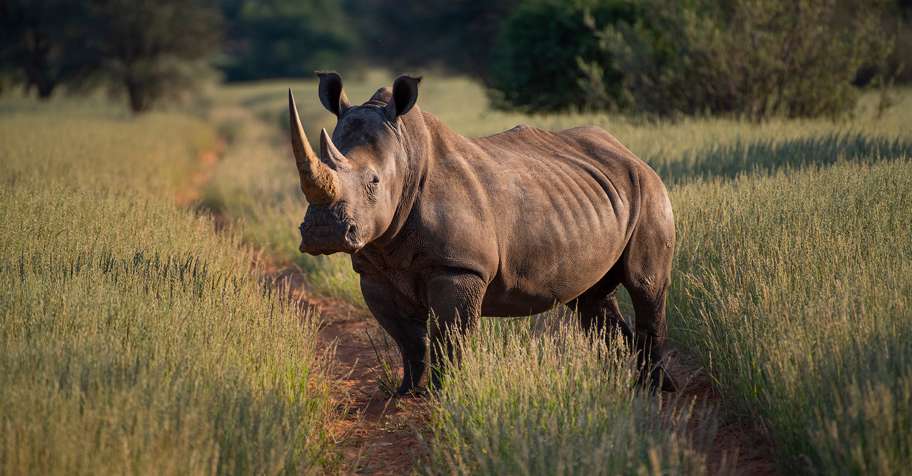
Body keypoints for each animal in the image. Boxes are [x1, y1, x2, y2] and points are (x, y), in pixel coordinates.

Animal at [289, 72, 677, 393]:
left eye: (374, 181)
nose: (323, 232)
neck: (406, 156)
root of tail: (630, 153)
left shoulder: (460, 267)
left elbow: (448, 338)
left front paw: (442, 392)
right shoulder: (374, 271)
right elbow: (407, 338)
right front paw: (406, 392)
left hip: (650, 191)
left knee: (646, 286)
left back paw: (655, 388)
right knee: (591, 297)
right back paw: (632, 382)